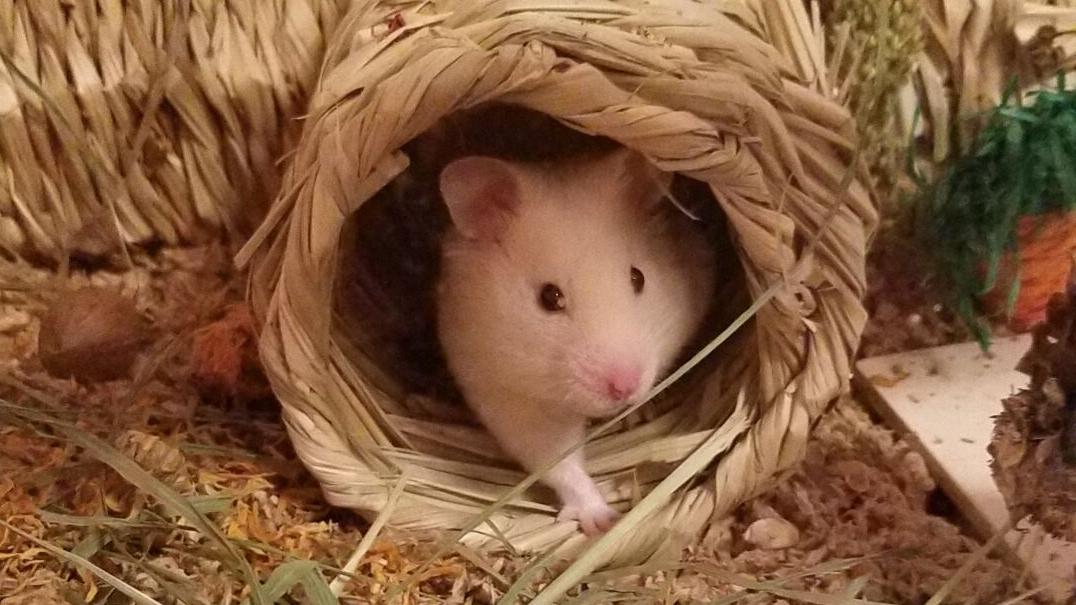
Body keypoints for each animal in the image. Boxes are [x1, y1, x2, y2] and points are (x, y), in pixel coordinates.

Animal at [435, 148, 717, 535]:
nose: (625, 388)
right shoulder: (507, 397)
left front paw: (639, 411)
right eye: (549, 297)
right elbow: (559, 462)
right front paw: (603, 522)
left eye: (638, 277)